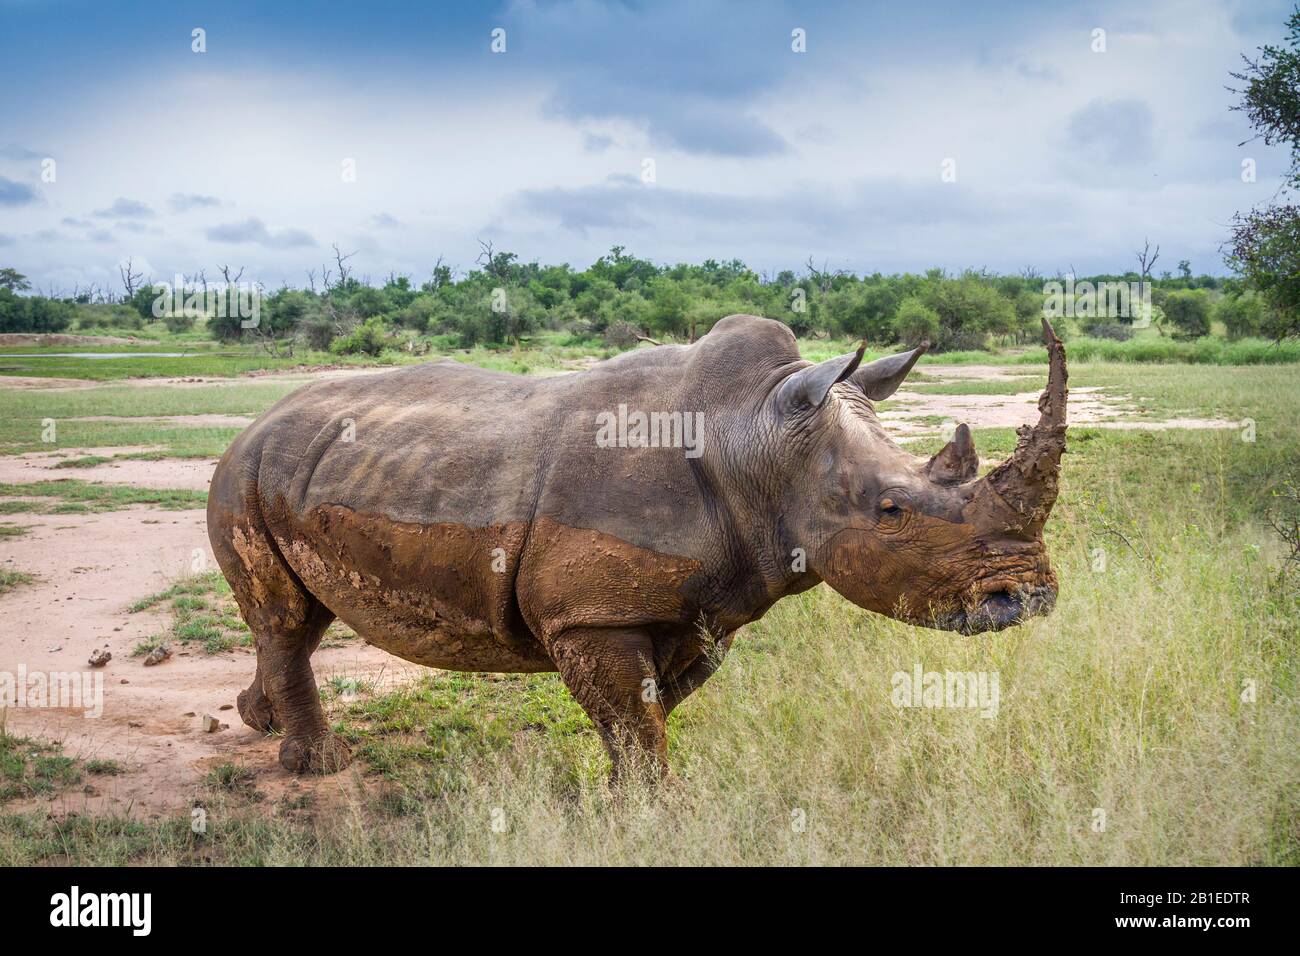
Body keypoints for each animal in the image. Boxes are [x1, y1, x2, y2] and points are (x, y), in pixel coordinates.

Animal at [208, 313, 1067, 778]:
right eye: (891, 510)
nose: (1024, 595)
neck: (755, 437)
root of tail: (256, 420)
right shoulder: (594, 615)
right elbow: (637, 724)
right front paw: (653, 822)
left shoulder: (704, 606)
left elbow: (647, 720)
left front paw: (620, 805)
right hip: (243, 475)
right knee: (285, 617)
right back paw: (315, 765)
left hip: (293, 472)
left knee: (298, 617)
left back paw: (258, 720)